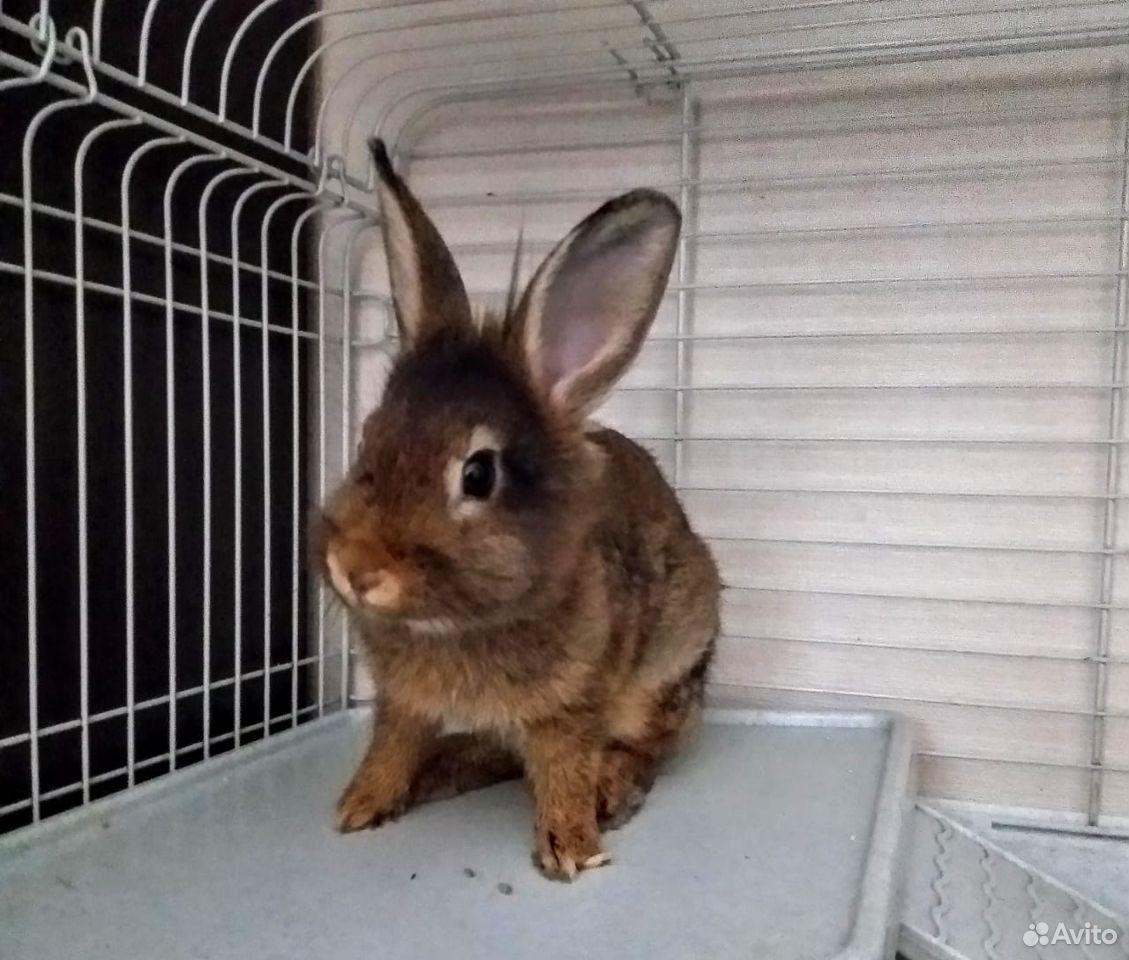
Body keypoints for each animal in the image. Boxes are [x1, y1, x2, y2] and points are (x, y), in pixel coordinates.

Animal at [318, 137, 722, 881]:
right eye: (367, 438)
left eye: (478, 474)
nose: (355, 570)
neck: (451, 624)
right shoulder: (402, 702)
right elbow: (391, 743)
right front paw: (360, 804)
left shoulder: (572, 705)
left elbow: (562, 768)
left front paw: (570, 849)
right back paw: (444, 769)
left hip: (662, 675)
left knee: (645, 750)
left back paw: (610, 791)